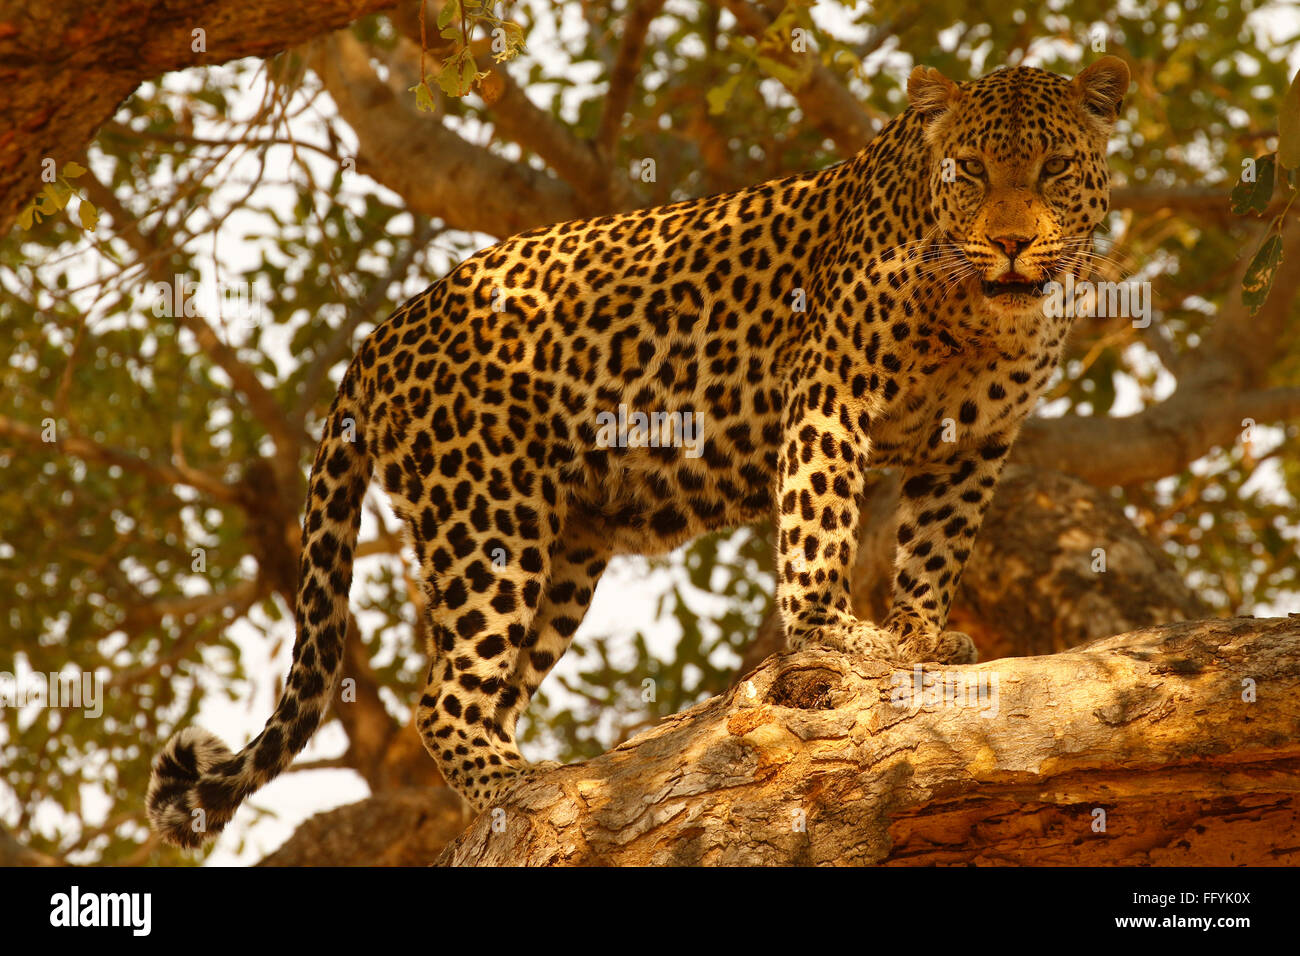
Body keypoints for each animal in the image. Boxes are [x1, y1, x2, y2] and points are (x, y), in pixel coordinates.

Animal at [147, 55, 1130, 847]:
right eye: (971, 172)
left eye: (1052, 169)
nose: (1010, 242)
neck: (979, 319)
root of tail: (381, 335)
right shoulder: (829, 389)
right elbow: (818, 518)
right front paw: (833, 631)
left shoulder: (975, 445)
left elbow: (936, 546)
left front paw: (921, 632)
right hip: (485, 514)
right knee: (444, 693)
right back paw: (514, 787)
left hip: (564, 548)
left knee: (495, 681)